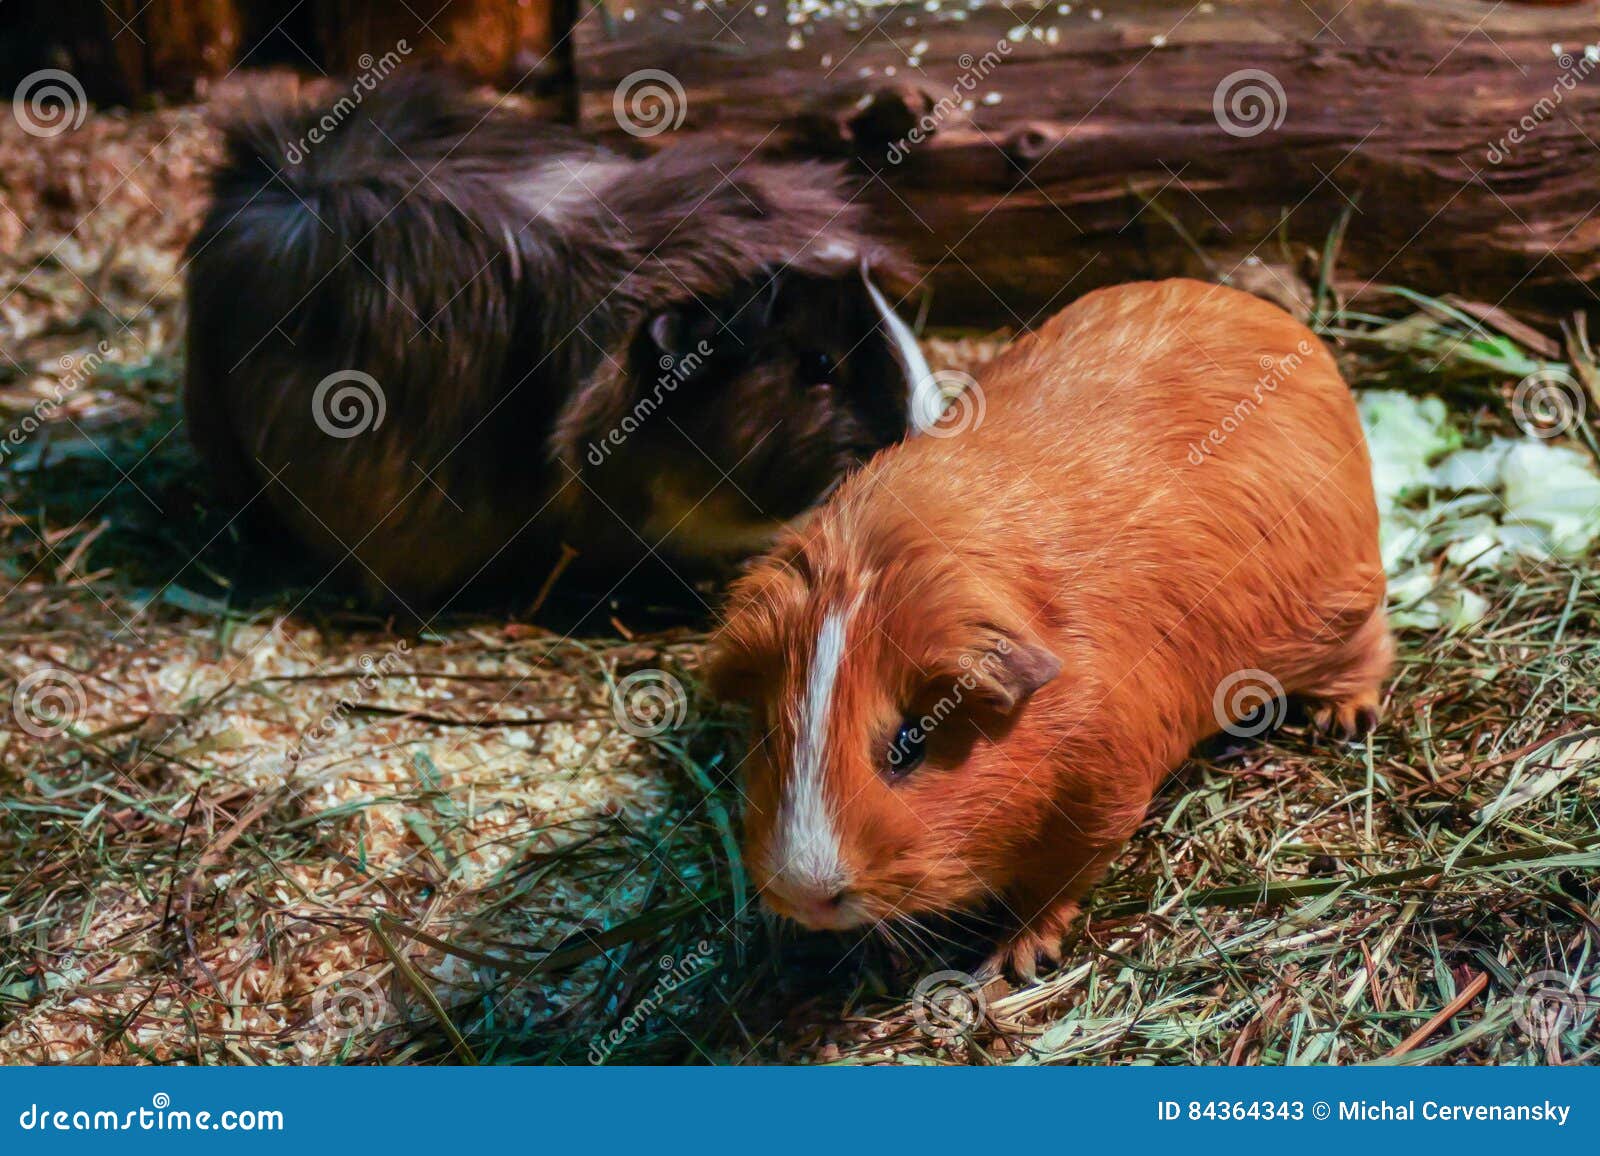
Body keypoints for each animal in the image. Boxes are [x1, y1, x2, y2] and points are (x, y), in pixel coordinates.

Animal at [709, 279, 1393, 977]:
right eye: (768, 736)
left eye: (909, 745)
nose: (806, 895)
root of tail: (1279, 327)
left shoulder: (1102, 796)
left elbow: (1057, 885)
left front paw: (1016, 961)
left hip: (1335, 613)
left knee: (1372, 651)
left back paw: (1345, 720)